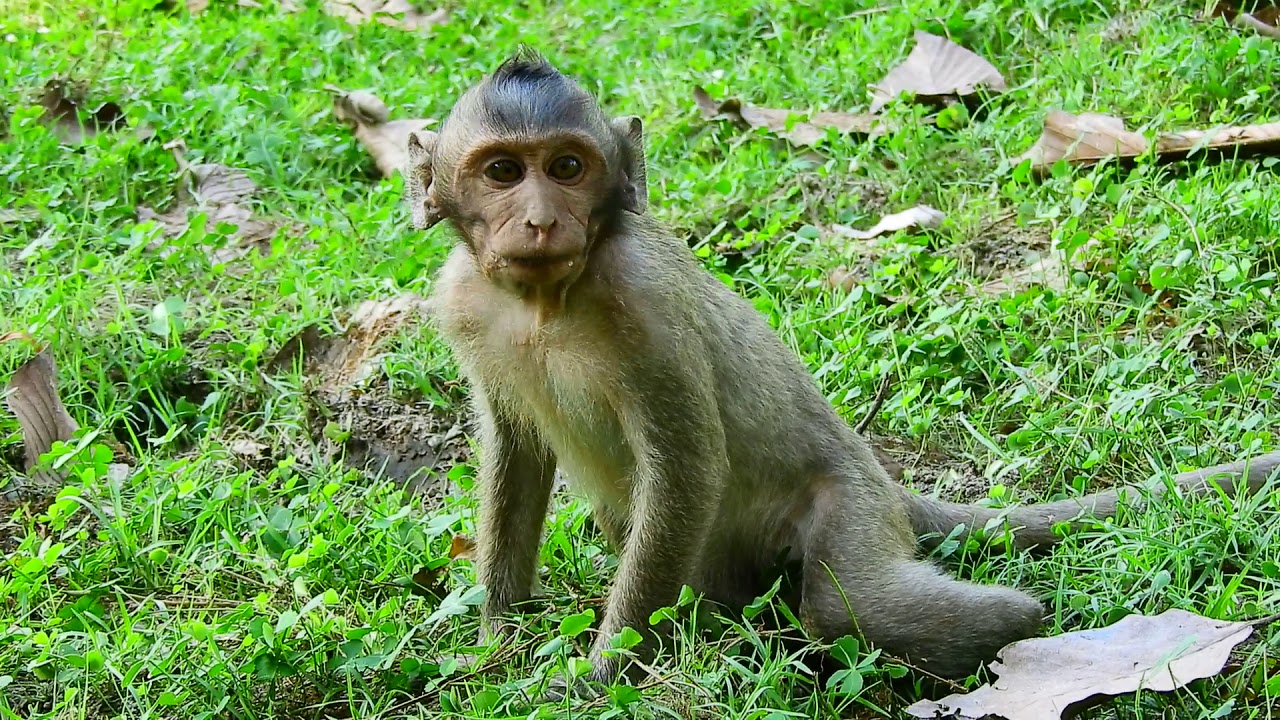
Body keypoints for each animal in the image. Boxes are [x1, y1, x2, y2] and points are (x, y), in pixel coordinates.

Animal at [403, 49, 1280, 693]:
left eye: (568, 167)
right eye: (503, 173)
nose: (540, 220)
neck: (546, 301)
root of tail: (881, 478)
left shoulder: (643, 303)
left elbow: (688, 470)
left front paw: (601, 673)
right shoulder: (460, 303)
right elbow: (515, 460)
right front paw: (497, 641)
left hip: (850, 506)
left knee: (843, 605)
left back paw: (1021, 623)